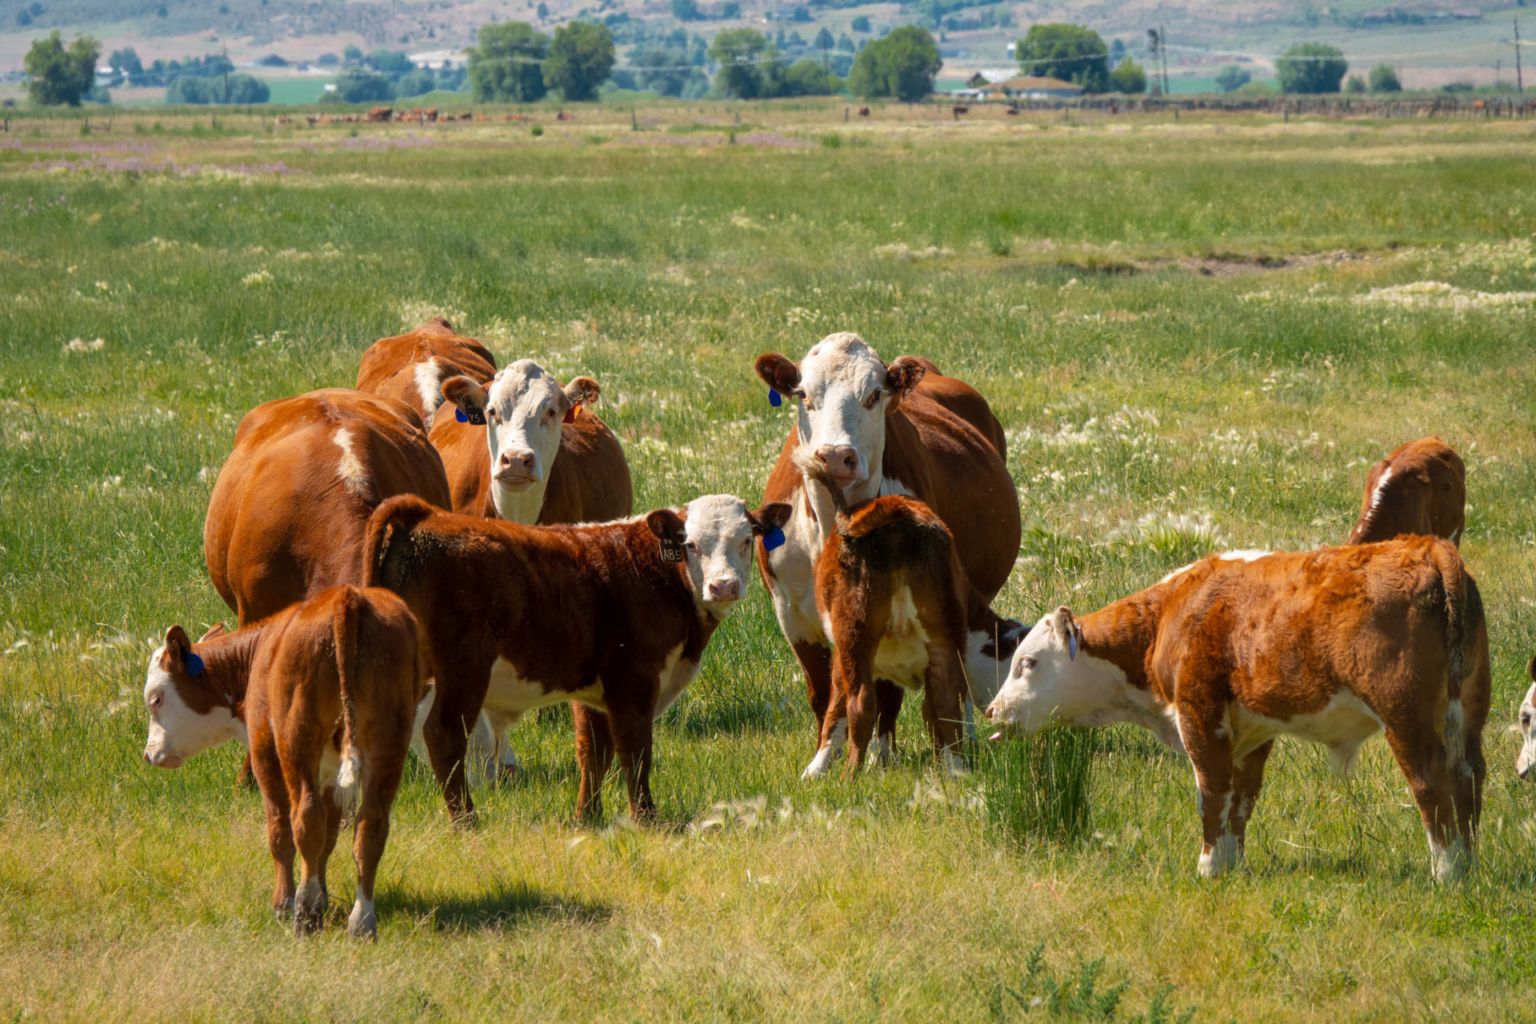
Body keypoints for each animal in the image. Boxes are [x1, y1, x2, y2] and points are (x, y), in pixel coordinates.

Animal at [142, 586, 421, 937]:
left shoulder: (264, 752)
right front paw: (322, 895)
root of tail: (349, 596)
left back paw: (305, 913)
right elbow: (329, 837)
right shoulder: (328, 773)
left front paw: (286, 903)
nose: (149, 754)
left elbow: (279, 831)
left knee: (305, 818)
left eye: (155, 699)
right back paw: (360, 920)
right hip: (388, 742)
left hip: (295, 738)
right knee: (370, 826)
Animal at [362, 492, 792, 824]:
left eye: (747, 540)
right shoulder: (633, 681)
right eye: (691, 545)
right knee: (444, 734)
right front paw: (647, 819)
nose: (724, 586)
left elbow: (594, 753)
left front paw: (587, 817)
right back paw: (467, 821)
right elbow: (635, 751)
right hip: (462, 670)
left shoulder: (596, 691)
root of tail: (427, 514)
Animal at [793, 449, 1017, 777]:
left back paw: (850, 777)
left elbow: (837, 710)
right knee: (944, 704)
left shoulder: (841, 658)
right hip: (940, 633)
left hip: (853, 632)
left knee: (860, 703)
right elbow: (930, 714)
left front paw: (815, 770)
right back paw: (956, 772)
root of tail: (897, 516)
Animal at [984, 537, 1490, 883]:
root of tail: (1429, 548)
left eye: (1028, 663)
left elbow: (1211, 792)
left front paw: (1208, 866)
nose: (991, 711)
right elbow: (1241, 798)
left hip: (1405, 717)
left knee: (1431, 783)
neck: (1168, 616)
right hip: (1467, 714)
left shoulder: (1199, 713)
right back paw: (1469, 866)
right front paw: (1231, 863)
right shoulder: (1252, 729)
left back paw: (1447, 873)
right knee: (1469, 779)